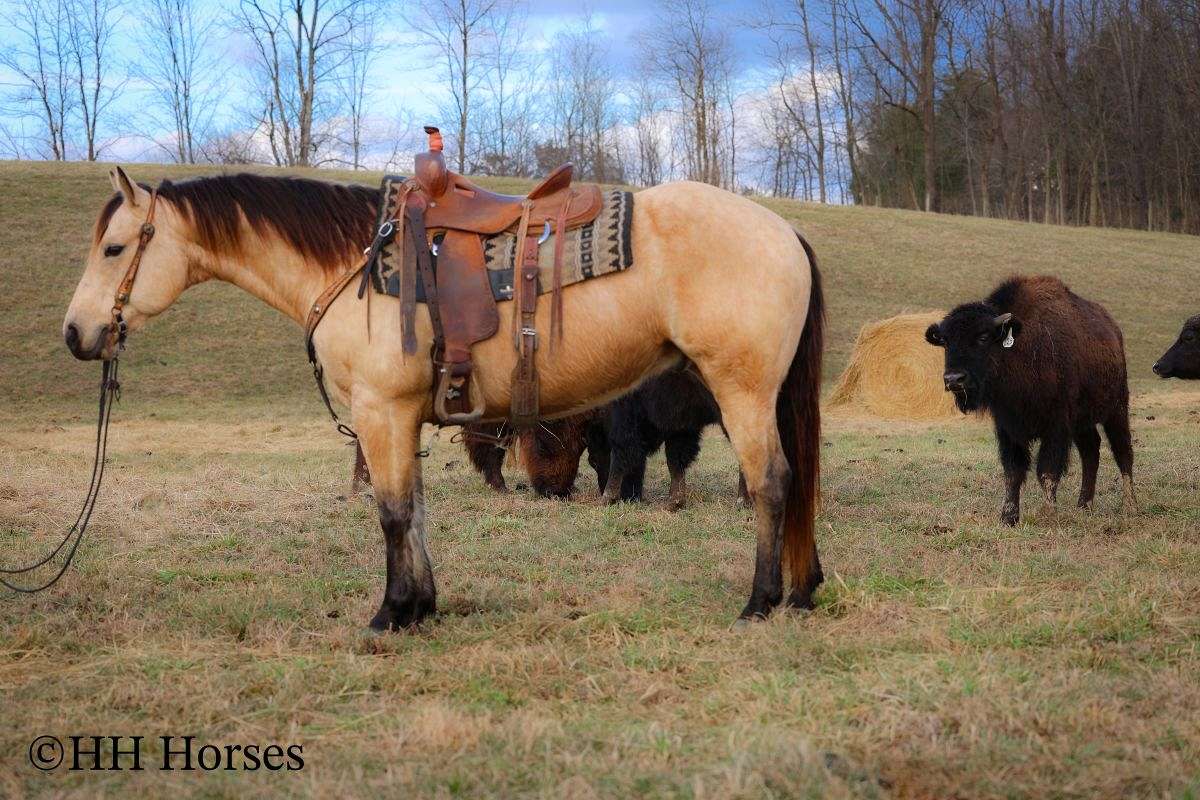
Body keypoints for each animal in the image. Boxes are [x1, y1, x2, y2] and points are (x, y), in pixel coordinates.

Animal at [63, 166, 825, 632]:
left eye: (113, 248)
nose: (76, 333)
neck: (354, 267)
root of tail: (782, 229)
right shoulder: (402, 418)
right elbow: (417, 510)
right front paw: (422, 606)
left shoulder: (381, 413)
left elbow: (393, 513)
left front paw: (391, 612)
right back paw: (803, 587)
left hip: (743, 391)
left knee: (771, 483)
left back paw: (761, 601)